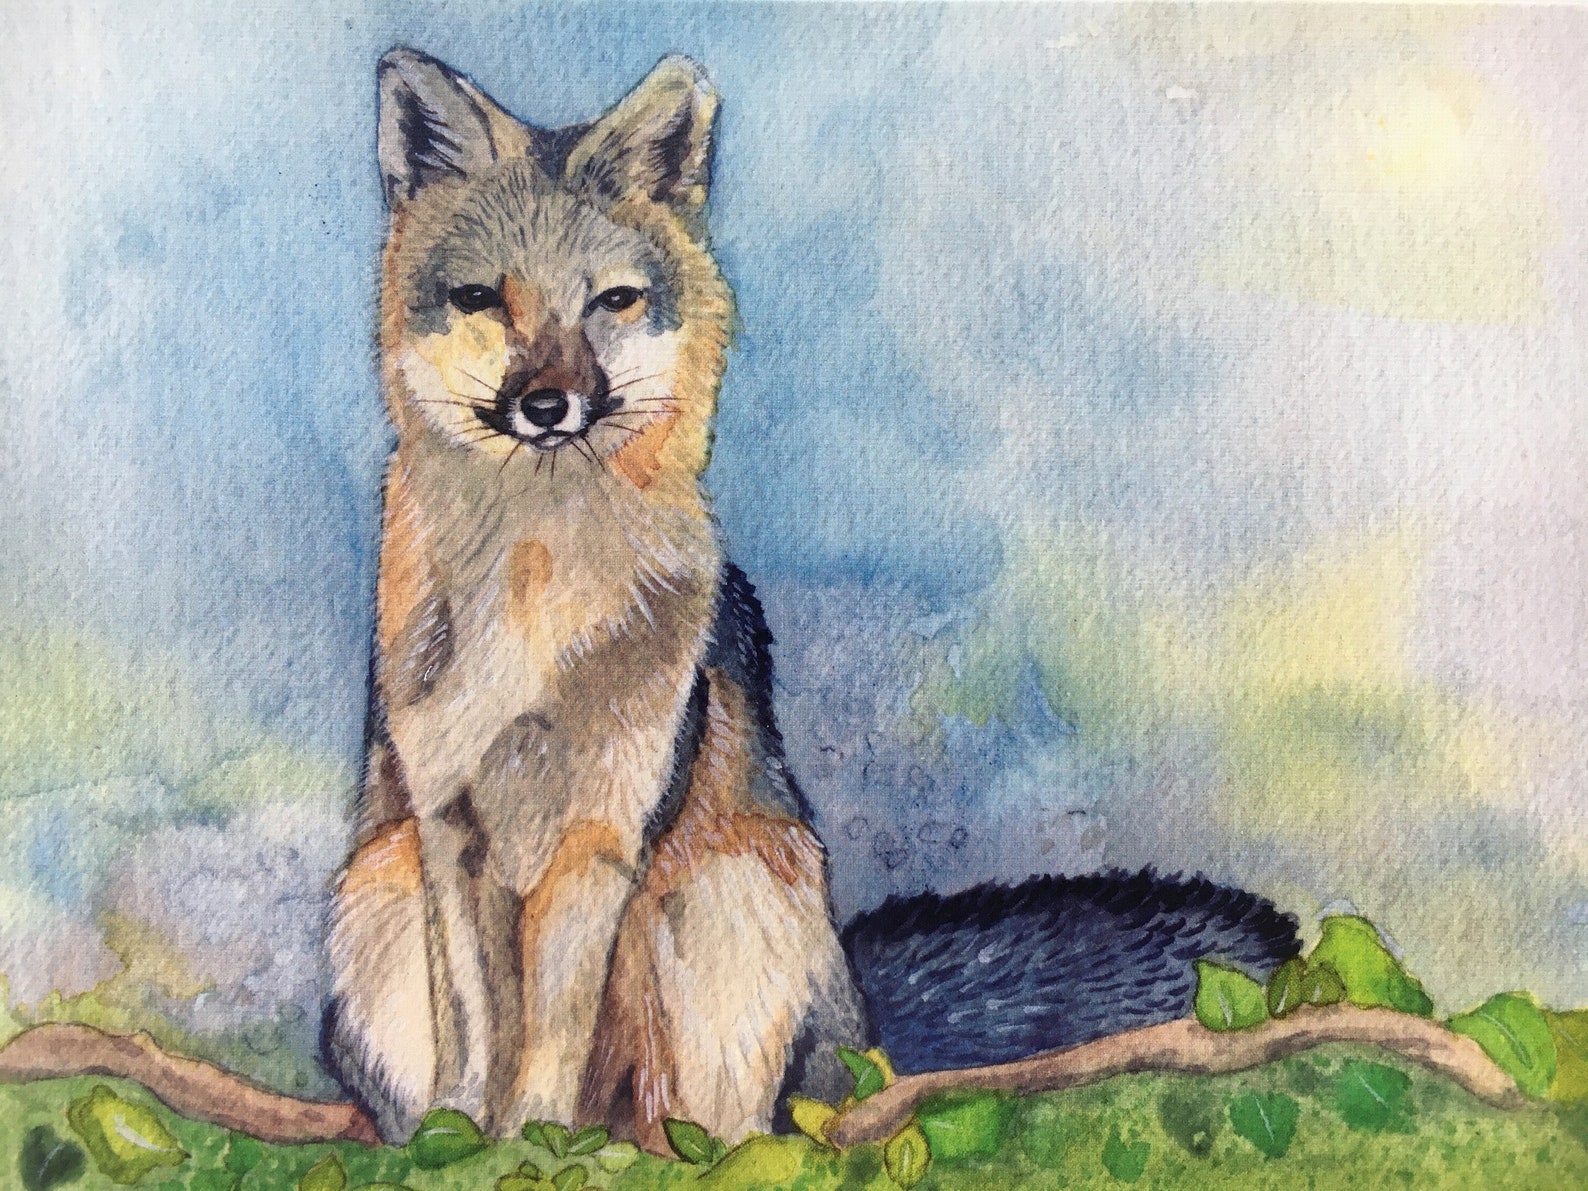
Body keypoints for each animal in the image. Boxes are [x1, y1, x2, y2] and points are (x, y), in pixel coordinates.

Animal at [323, 48, 1301, 1152]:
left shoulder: (603, 838)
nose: (545, 404)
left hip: (728, 894)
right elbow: (476, 1027)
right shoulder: (448, 829)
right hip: (378, 884)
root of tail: (866, 1030)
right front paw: (460, 1143)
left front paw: (535, 1146)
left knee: (722, 1126)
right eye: (483, 297)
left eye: (611, 301)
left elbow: (555, 1040)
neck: (537, 609)